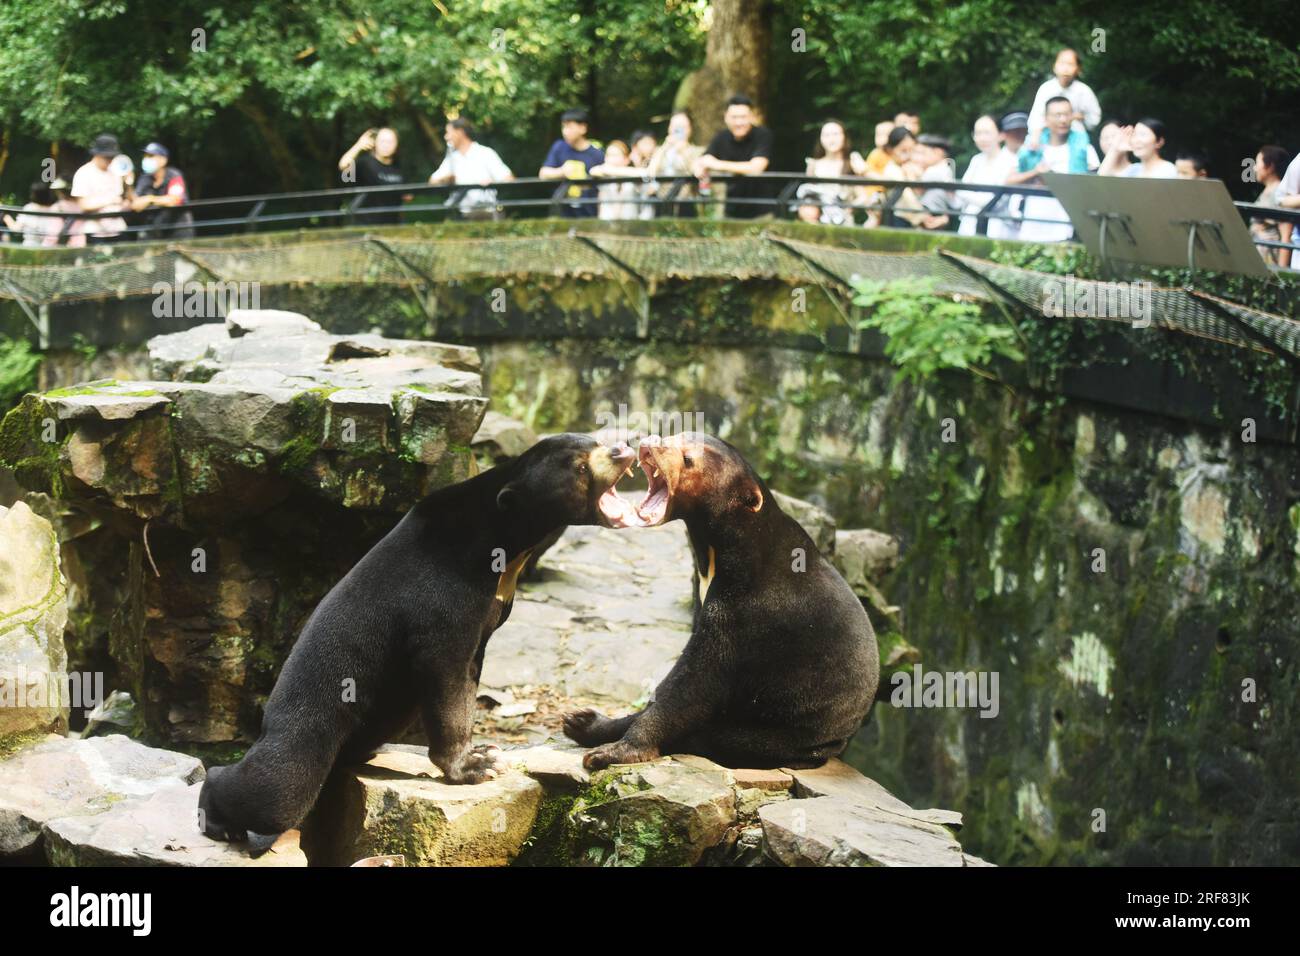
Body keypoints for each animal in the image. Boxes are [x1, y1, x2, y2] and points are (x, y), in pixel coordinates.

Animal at [199, 433, 640, 841]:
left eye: (596, 440)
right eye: (580, 467)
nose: (625, 449)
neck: (507, 545)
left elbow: (469, 673)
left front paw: (484, 751)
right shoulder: (446, 593)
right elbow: (445, 671)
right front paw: (477, 765)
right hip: (308, 725)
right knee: (278, 791)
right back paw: (216, 813)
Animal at [563, 432, 879, 771]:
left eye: (688, 459)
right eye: (674, 436)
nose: (648, 443)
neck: (720, 545)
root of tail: (838, 743)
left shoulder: (745, 608)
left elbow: (696, 680)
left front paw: (614, 752)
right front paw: (591, 727)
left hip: (776, 732)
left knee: (705, 734)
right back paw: (581, 722)